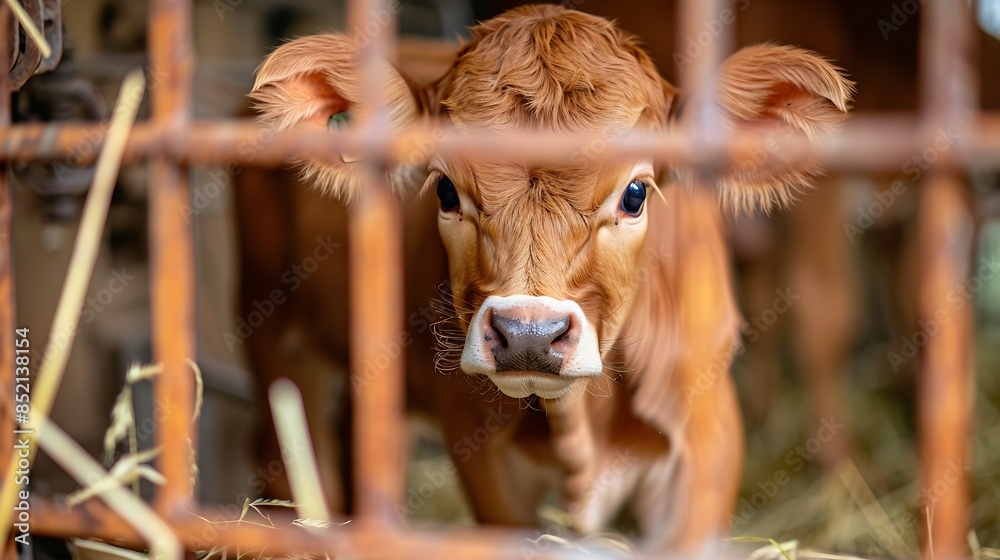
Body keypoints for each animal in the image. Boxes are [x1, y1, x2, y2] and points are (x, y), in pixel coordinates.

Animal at [245, 4, 852, 550]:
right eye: (445, 189)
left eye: (635, 194)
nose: (529, 334)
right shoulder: (483, 459)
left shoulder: (707, 447)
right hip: (273, 337)